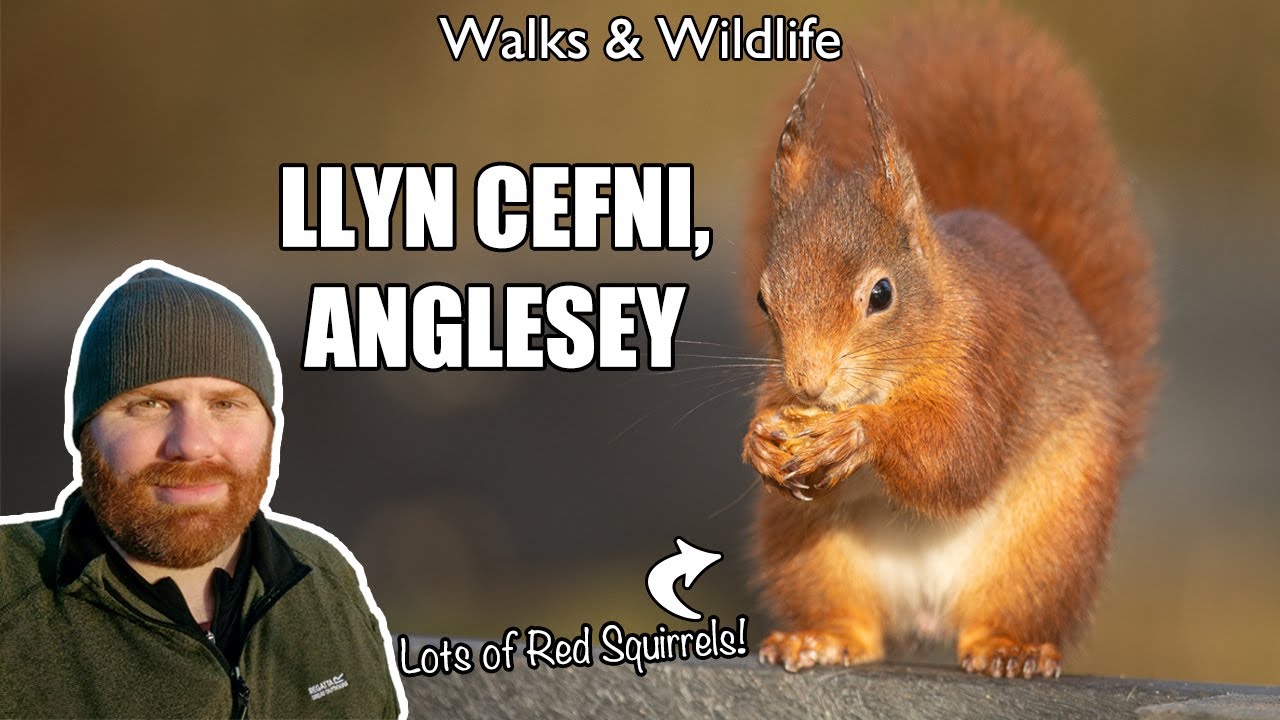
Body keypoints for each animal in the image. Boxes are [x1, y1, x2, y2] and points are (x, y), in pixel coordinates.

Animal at [741, 5, 1158, 679]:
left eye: (881, 294)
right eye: (763, 299)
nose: (809, 382)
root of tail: (928, 609)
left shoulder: (987, 356)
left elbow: (959, 455)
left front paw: (855, 433)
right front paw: (759, 442)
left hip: (1049, 541)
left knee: (1013, 607)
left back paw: (1011, 649)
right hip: (808, 551)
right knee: (853, 620)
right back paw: (822, 639)